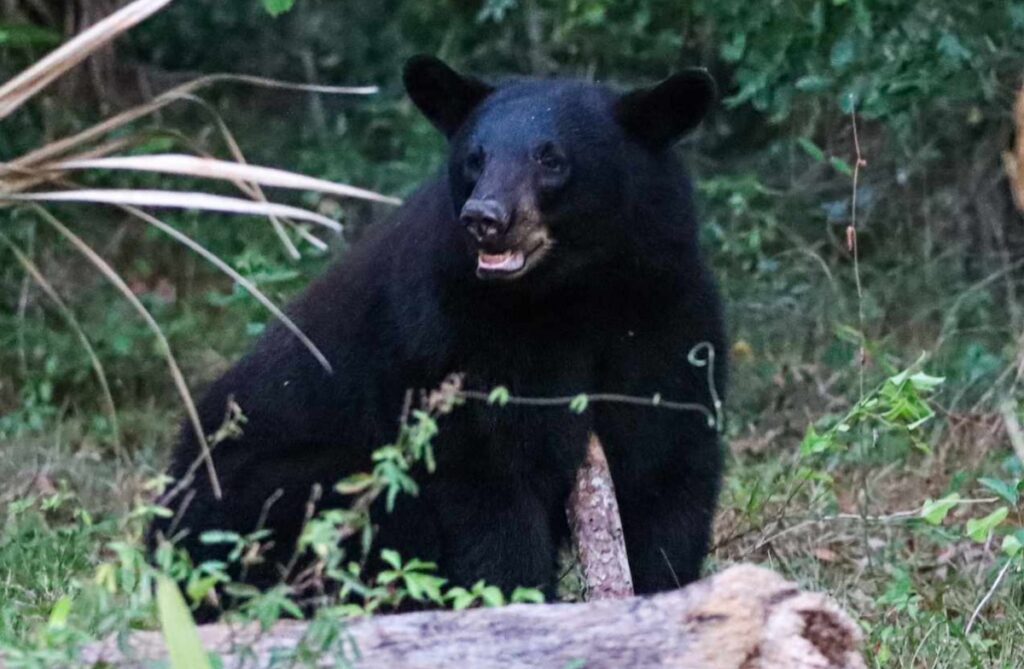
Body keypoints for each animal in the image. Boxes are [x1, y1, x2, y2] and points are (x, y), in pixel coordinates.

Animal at [148, 55, 726, 616]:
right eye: (476, 157)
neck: (571, 295)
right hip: (273, 497)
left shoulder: (666, 316)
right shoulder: (450, 338)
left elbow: (668, 470)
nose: (485, 218)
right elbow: (489, 487)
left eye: (551, 159)